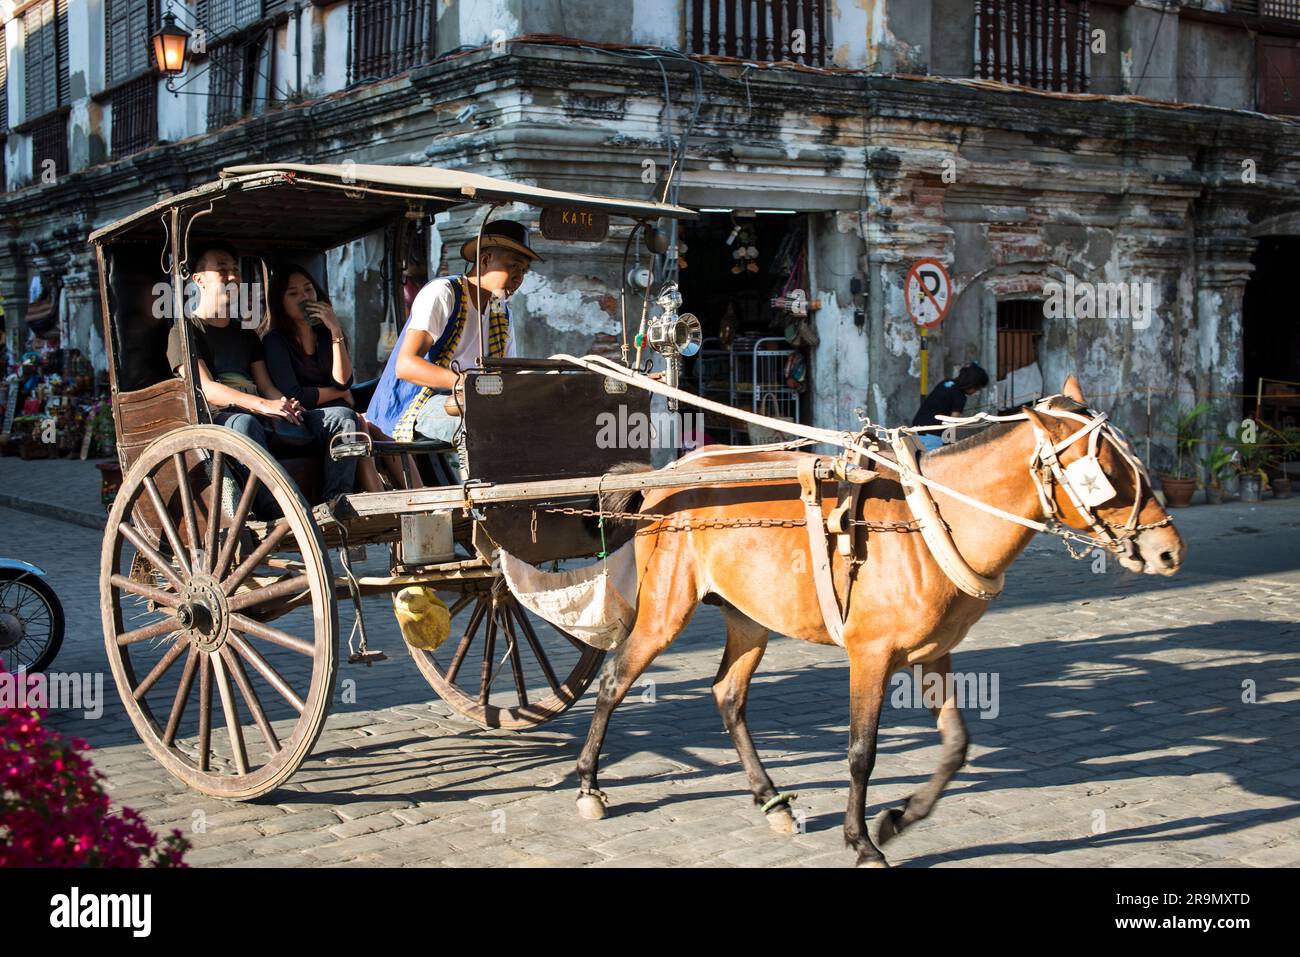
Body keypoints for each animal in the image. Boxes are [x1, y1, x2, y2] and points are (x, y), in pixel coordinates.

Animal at [572, 377, 1185, 866]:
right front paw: (862, 842)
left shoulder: (933, 654)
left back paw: (770, 800)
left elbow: (957, 745)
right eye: (1105, 472)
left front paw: (898, 818)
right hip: (664, 611)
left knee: (727, 694)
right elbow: (861, 753)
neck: (935, 520)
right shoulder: (870, 655)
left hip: (748, 618)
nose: (1168, 552)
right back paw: (588, 787)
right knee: (615, 682)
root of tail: (669, 473)